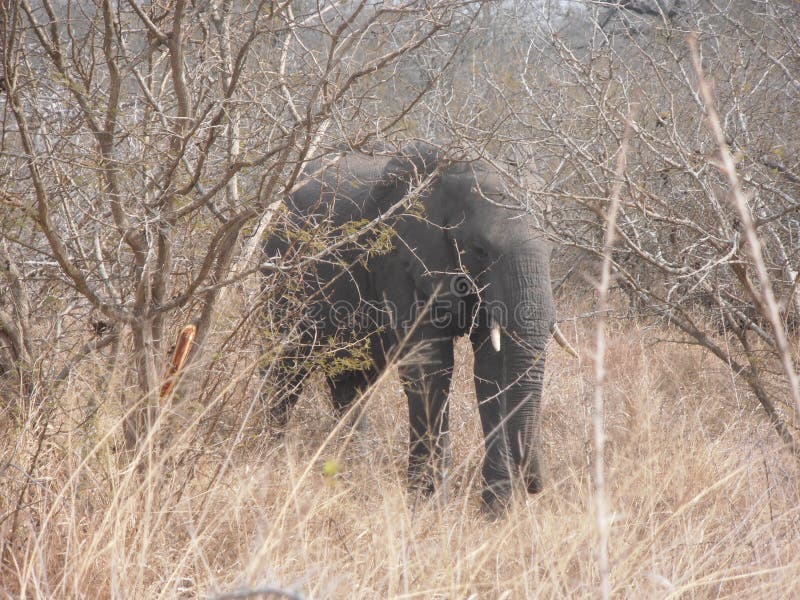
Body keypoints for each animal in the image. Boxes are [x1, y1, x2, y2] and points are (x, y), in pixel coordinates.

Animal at [260, 142, 575, 509]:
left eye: (552, 250)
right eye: (480, 250)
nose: (536, 485)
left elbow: (492, 371)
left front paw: (497, 512)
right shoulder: (401, 260)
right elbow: (430, 368)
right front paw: (430, 508)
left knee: (351, 382)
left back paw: (353, 475)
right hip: (280, 277)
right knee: (285, 368)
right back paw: (268, 453)